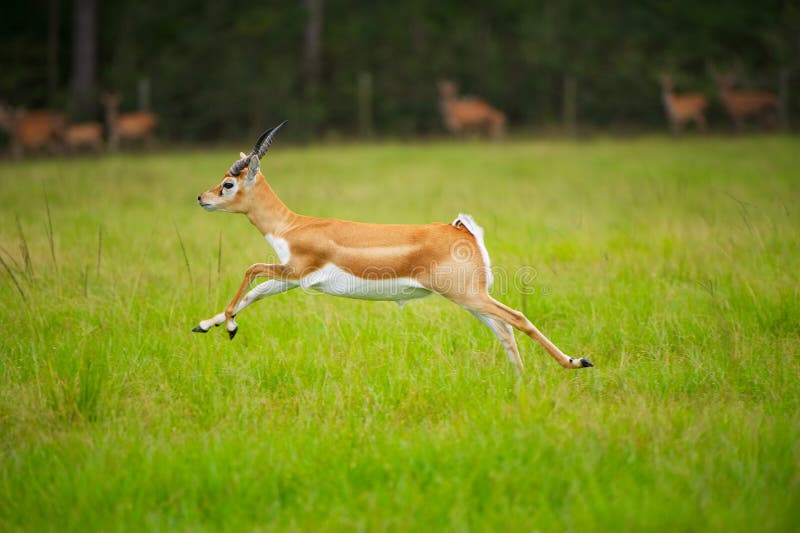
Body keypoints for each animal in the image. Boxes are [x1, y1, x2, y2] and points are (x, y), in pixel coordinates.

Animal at [193, 122, 593, 372]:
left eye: (228, 184)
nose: (201, 198)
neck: (293, 225)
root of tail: (463, 232)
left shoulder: (296, 270)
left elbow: (250, 271)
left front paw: (229, 327)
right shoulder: (293, 279)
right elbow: (254, 293)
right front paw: (205, 325)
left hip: (468, 295)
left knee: (518, 319)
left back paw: (577, 363)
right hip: (470, 299)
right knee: (505, 330)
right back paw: (522, 382)